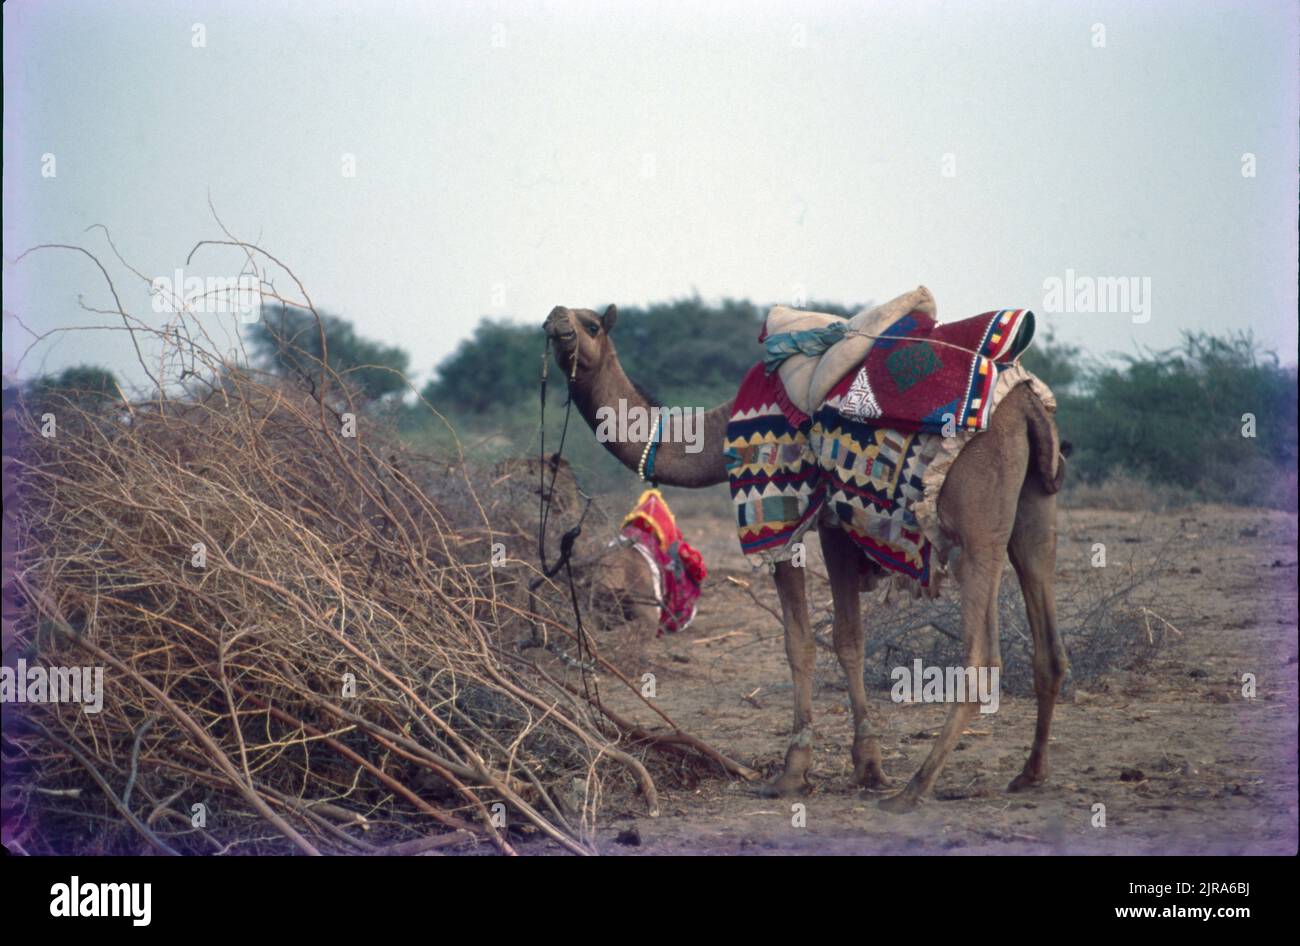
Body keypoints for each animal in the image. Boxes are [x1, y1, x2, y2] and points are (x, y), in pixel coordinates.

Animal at [543, 303, 1068, 812]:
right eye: (553, 322)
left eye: (591, 324)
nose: (556, 321)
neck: (711, 431)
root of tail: (1024, 403)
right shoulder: (836, 520)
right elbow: (849, 640)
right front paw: (867, 766)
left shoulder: (783, 511)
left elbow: (803, 641)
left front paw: (793, 772)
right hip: (1034, 507)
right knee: (1047, 638)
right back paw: (1030, 773)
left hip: (975, 522)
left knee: (982, 660)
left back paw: (914, 789)